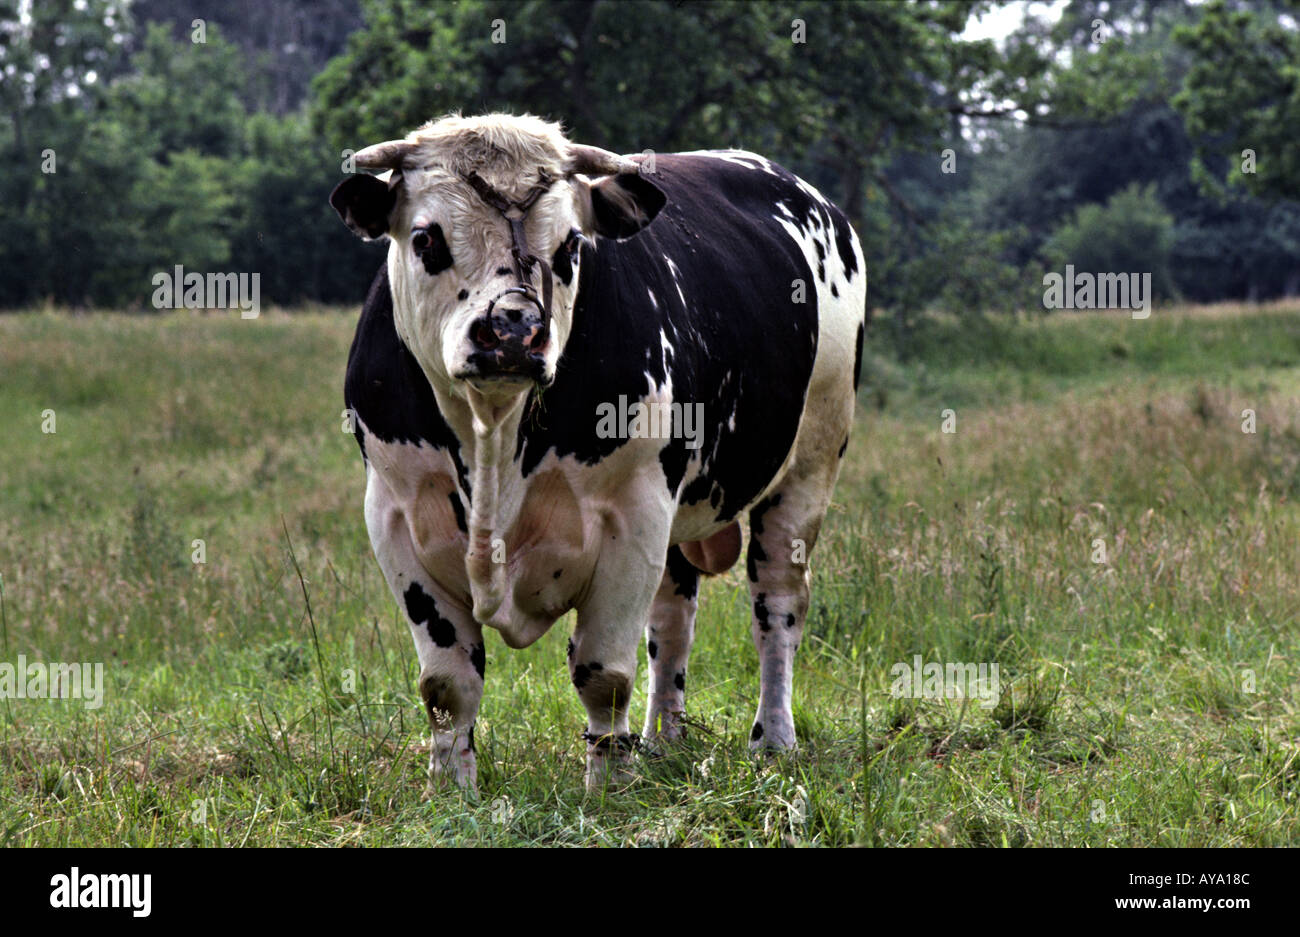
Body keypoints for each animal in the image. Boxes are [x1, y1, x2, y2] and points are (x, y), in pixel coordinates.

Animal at [330, 113, 865, 792]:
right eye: (427, 239)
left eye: (571, 247)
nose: (513, 330)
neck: (494, 435)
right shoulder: (396, 515)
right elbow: (447, 685)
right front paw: (453, 792)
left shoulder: (632, 516)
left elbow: (603, 674)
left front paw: (608, 790)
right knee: (673, 619)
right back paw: (664, 742)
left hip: (809, 464)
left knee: (777, 605)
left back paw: (771, 740)